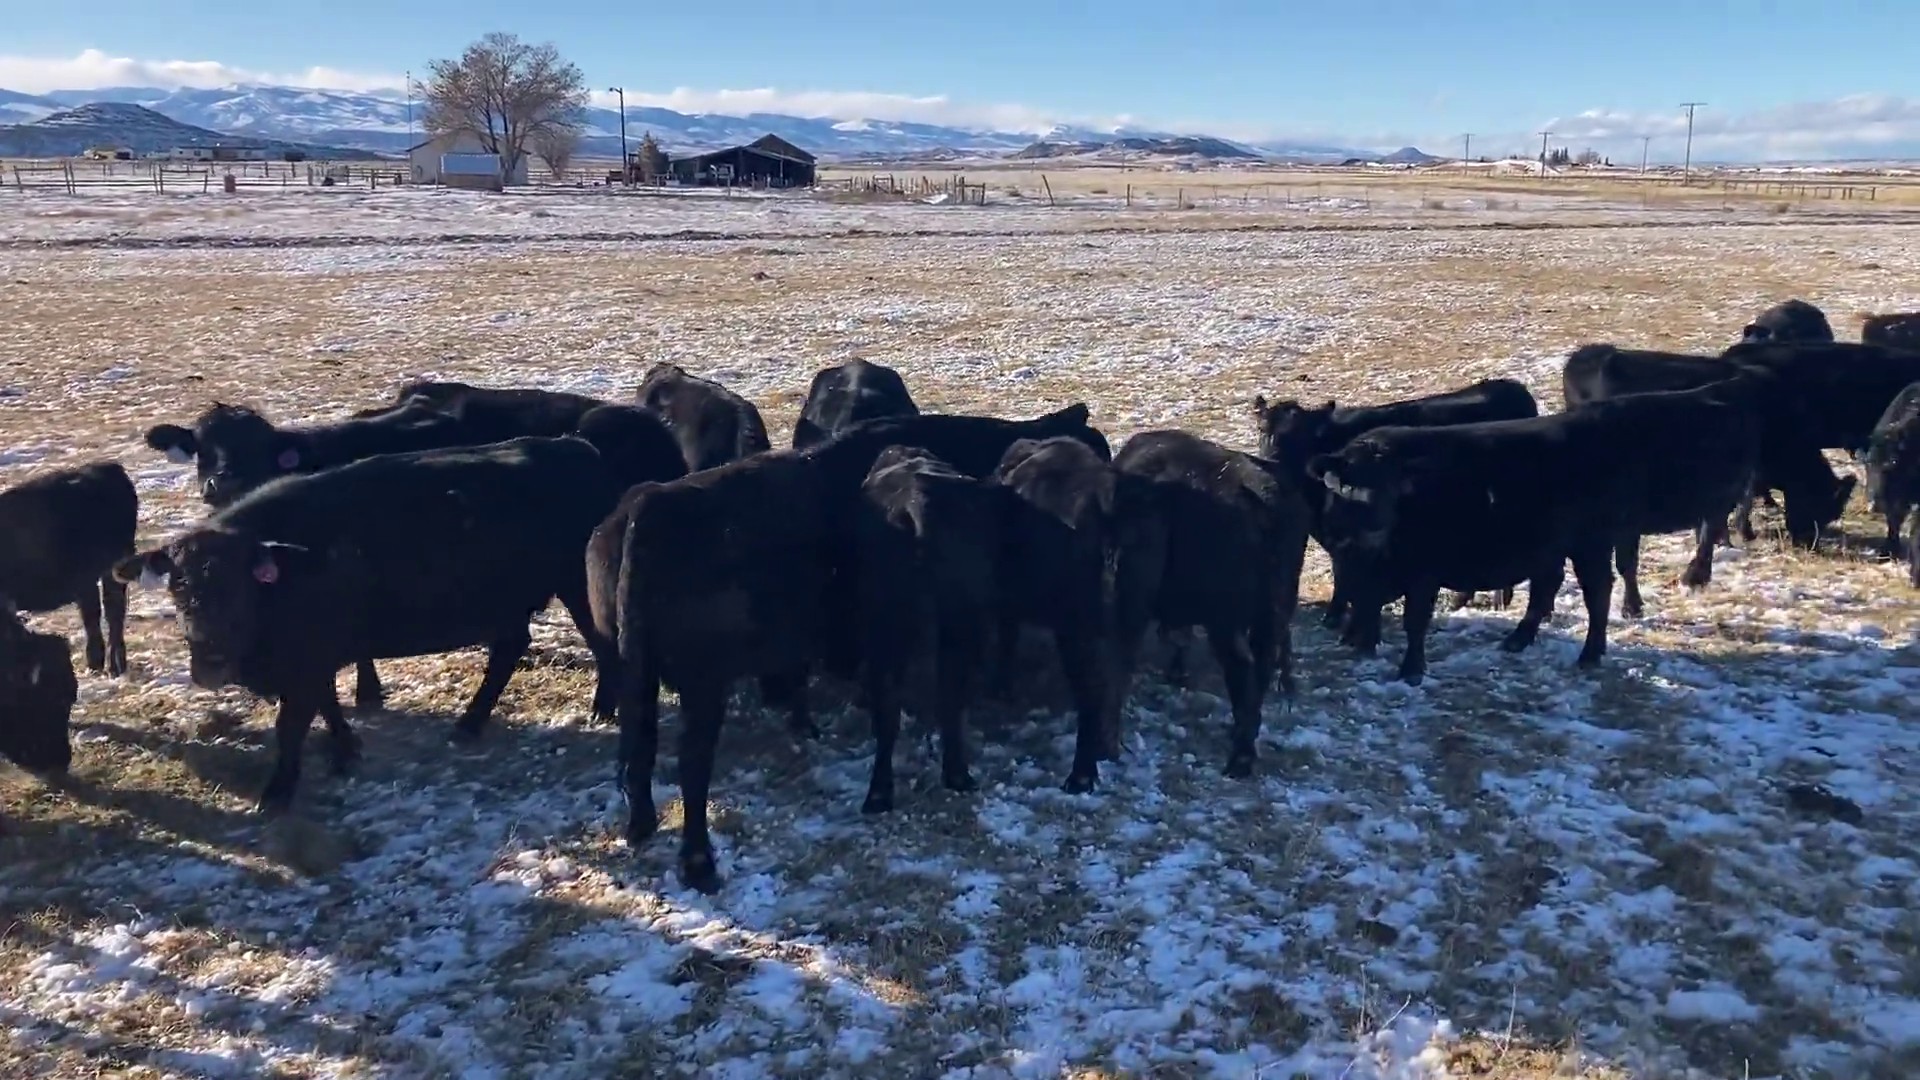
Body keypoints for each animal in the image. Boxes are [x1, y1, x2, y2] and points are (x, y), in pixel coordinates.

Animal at [116, 436, 636, 812]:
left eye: (240, 586)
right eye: (178, 586)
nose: (210, 657)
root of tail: (576, 448)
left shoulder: (304, 662)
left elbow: (293, 725)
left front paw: (278, 792)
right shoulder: (316, 660)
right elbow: (328, 704)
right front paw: (346, 749)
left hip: (578, 589)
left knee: (601, 646)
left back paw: (601, 709)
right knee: (509, 650)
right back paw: (470, 722)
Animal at [849, 445, 1003, 812]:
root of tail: (916, 502)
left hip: (889, 627)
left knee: (889, 707)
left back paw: (879, 793)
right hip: (958, 622)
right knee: (949, 697)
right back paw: (957, 775)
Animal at [991, 436, 1167, 787]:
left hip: (1079, 629)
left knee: (1092, 689)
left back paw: (1082, 774)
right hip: (1131, 620)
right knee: (1119, 676)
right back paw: (1108, 748)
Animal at [1307, 378, 1765, 684]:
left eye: (1391, 486)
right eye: (1348, 485)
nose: (1373, 523)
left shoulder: (1423, 571)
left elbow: (1413, 620)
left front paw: (1410, 669)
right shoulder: (1353, 566)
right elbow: (1362, 603)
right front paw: (1359, 642)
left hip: (1591, 543)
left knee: (1597, 591)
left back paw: (1589, 653)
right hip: (1553, 547)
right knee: (1548, 586)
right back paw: (1519, 638)